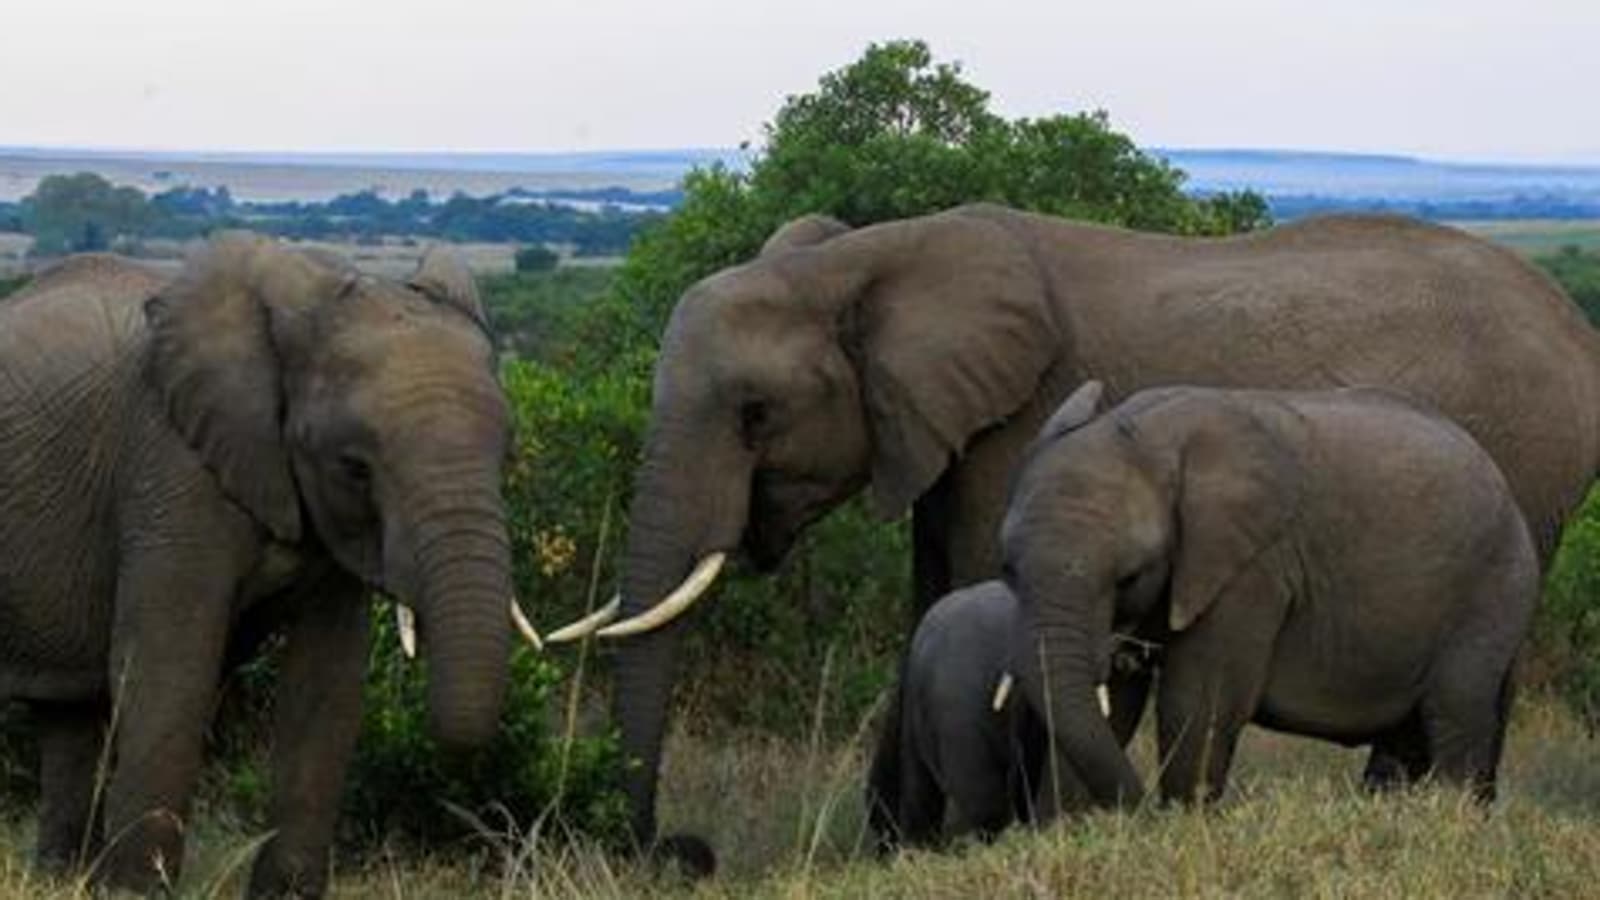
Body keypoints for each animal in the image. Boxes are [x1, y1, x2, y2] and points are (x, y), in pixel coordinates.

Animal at [0, 235, 536, 896]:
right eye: (354, 467)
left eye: (507, 453)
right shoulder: (172, 459)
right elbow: (169, 662)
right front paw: (134, 892)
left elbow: (327, 678)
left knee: (68, 717)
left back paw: (58, 878)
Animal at [1001, 380, 1539, 809]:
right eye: (1008, 571)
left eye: (1129, 576)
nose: (1137, 812)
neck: (1150, 431)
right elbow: (1115, 701)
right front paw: (1068, 827)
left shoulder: (1253, 569)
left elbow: (1199, 703)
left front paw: (1181, 824)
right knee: (1411, 737)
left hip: (1495, 588)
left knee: (1454, 713)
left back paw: (1452, 817)